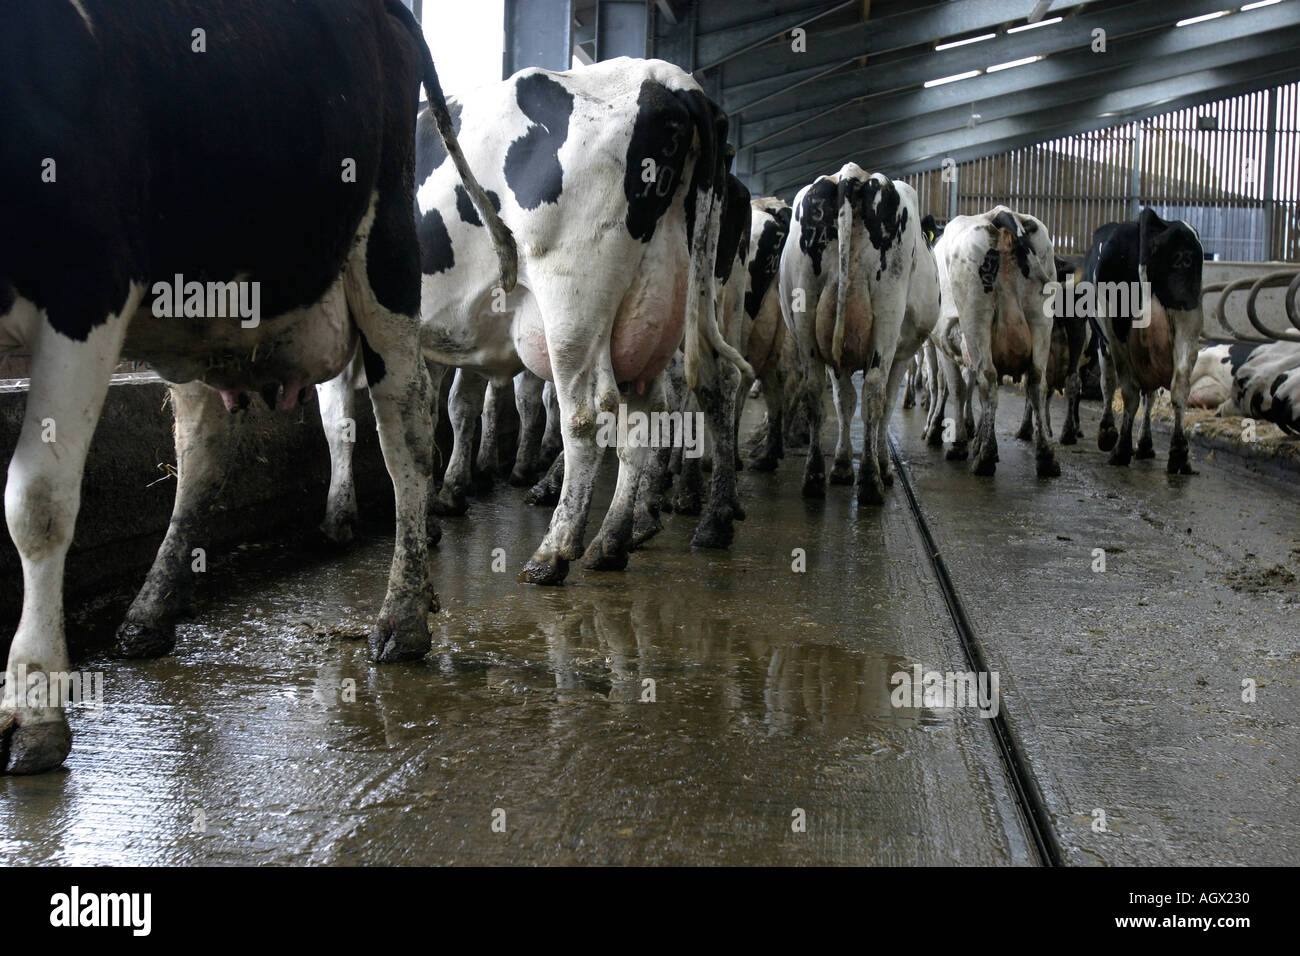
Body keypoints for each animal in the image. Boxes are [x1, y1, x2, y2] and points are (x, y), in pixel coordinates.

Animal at [0, 0, 514, 773]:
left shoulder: (86, 279)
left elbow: (37, 505)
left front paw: (35, 709)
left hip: (385, 248)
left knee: (406, 425)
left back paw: (403, 614)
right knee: (203, 453)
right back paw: (151, 608)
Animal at [318, 57, 747, 586]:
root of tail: (668, 79)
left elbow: (339, 420)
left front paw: (339, 517)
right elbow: (439, 412)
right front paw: (434, 512)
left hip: (572, 306)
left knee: (588, 414)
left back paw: (556, 548)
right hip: (670, 307)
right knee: (676, 402)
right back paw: (642, 533)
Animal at [780, 164, 940, 504]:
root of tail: (852, 174)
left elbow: (844, 402)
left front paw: (841, 466)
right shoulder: (902, 354)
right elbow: (886, 405)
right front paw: (884, 466)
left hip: (805, 313)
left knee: (814, 390)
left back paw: (814, 478)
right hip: (887, 315)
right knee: (874, 392)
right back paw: (870, 481)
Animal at [931, 206, 1060, 477]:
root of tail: (1001, 214)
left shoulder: (944, 344)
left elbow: (955, 387)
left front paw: (958, 443)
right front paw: (976, 439)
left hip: (975, 318)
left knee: (987, 379)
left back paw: (985, 458)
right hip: (1041, 319)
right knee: (1036, 381)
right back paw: (1046, 457)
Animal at [1086, 209, 1204, 472]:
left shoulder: (1103, 343)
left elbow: (1108, 383)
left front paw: (1108, 432)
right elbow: (1149, 395)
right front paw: (1146, 444)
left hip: (1118, 331)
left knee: (1129, 390)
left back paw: (1121, 450)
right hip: (1188, 319)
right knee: (1180, 387)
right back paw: (1179, 454)